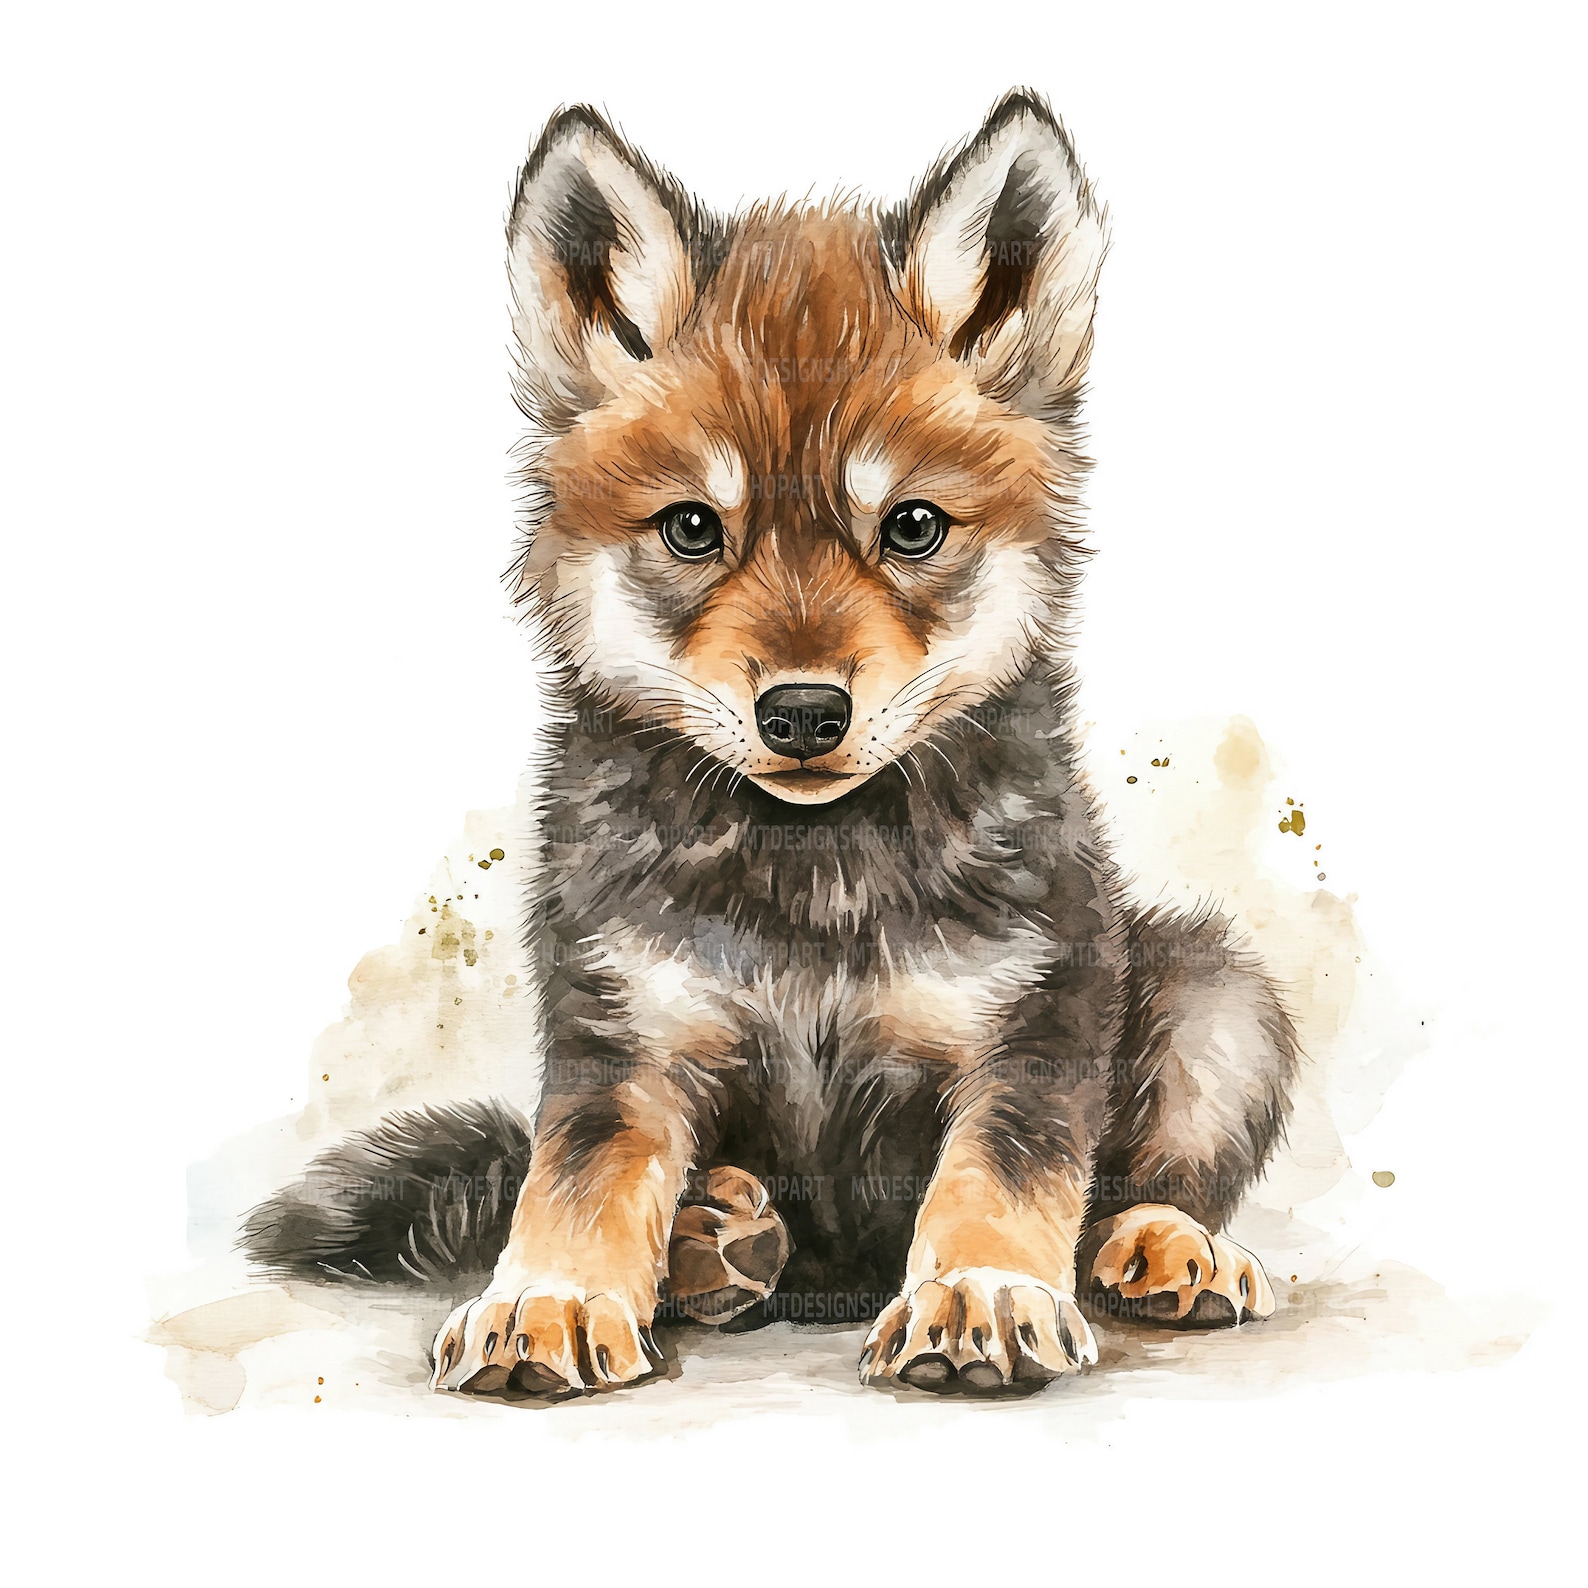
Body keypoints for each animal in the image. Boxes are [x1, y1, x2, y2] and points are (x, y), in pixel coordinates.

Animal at [244, 90, 1298, 1399]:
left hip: (1216, 992)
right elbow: (575, 1179)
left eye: (912, 526)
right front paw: (548, 1298)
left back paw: (1169, 1242)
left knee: (1155, 1170)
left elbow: (1001, 1176)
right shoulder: (621, 1030)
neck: (811, 877)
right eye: (694, 528)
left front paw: (979, 1290)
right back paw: (714, 1239)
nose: (803, 713)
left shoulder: (1035, 1018)